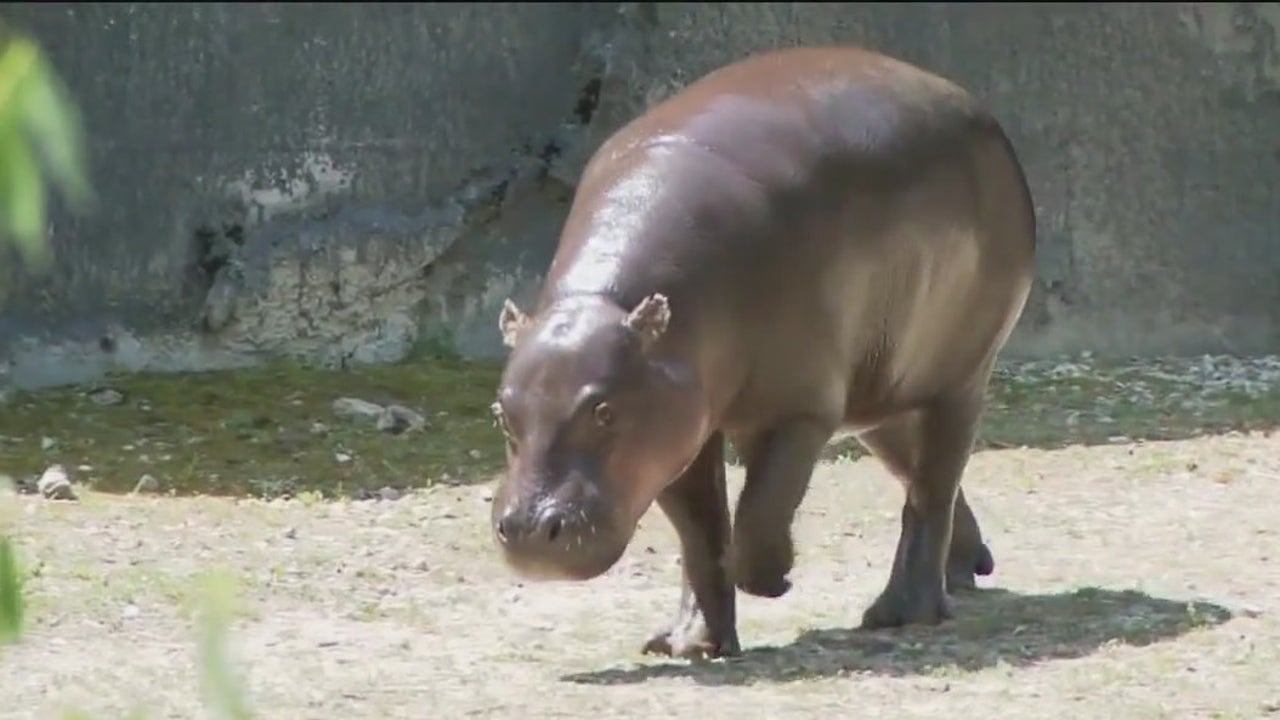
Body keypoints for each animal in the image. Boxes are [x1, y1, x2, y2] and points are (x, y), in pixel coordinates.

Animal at [488, 45, 1035, 659]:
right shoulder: (674, 429)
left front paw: (773, 581)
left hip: (960, 375)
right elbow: (700, 533)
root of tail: (975, 108)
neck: (611, 306)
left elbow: (756, 512)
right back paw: (965, 571)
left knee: (933, 484)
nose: (529, 532)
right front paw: (690, 644)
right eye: (501, 413)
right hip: (881, 391)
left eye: (603, 410)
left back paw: (899, 614)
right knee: (911, 465)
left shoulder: (797, 408)